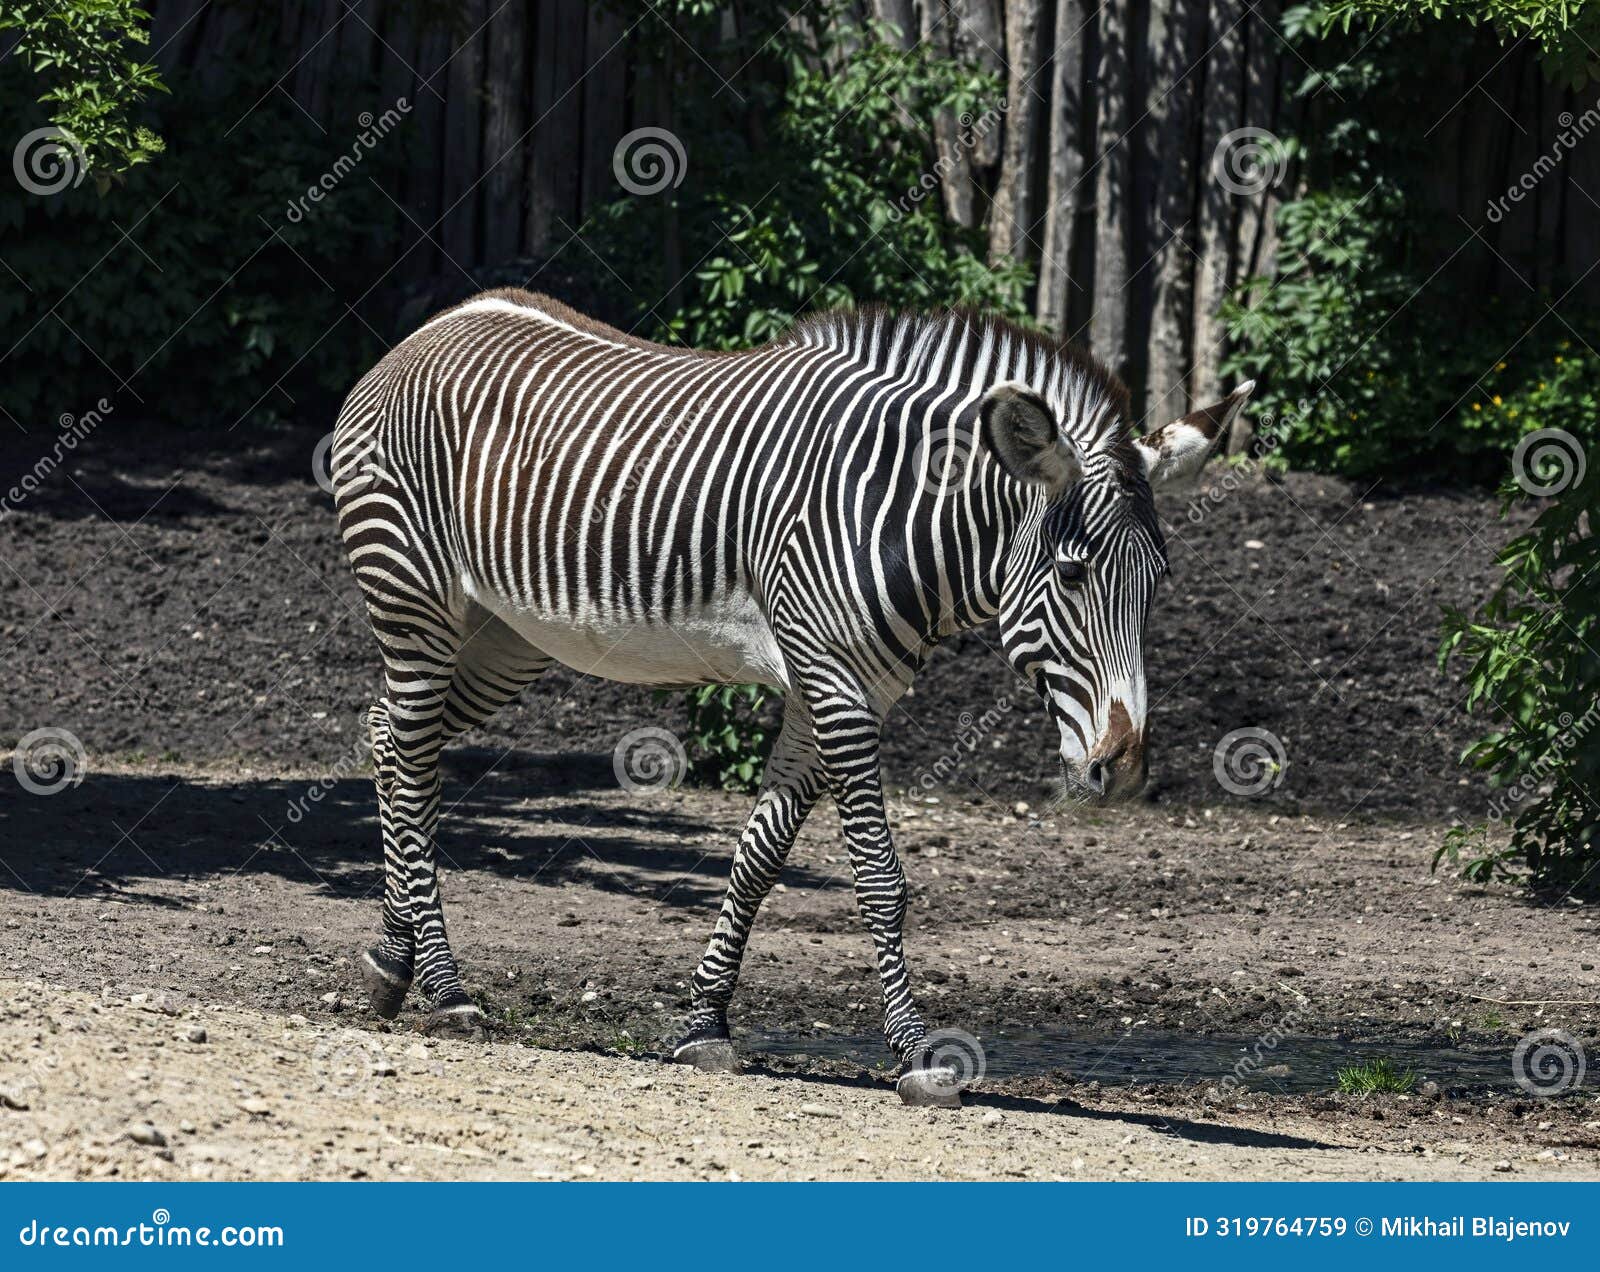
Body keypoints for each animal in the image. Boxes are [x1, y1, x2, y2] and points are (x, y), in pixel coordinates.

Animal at [330, 289, 1252, 1106]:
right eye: (1072, 575)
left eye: (1158, 581)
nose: (1121, 772)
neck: (902, 515)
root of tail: (435, 326)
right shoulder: (835, 680)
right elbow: (880, 875)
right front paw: (916, 1053)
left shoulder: (844, 689)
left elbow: (759, 856)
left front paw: (704, 1024)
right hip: (415, 594)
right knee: (410, 754)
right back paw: (445, 986)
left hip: (505, 636)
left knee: (393, 740)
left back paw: (393, 962)